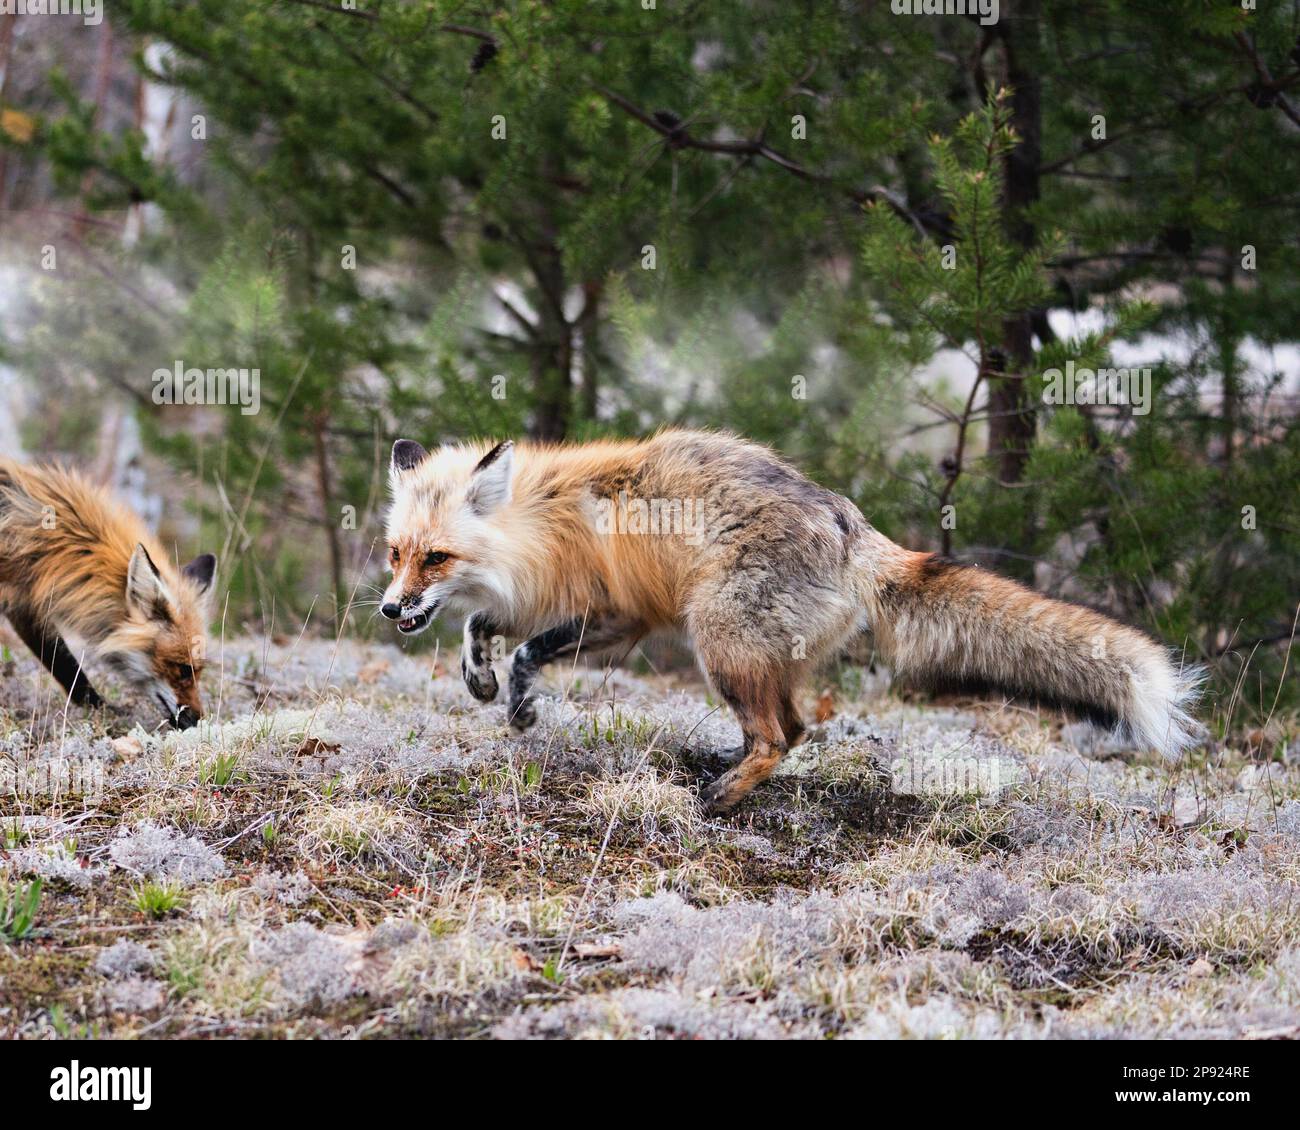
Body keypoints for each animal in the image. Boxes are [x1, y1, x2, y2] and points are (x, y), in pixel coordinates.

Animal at [0, 457, 216, 729]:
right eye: (184, 669)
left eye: (199, 670)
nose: (198, 721)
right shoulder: (23, 606)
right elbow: (67, 667)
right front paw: (102, 711)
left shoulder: (25, 605)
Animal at [380, 429, 1201, 811]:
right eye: (395, 554)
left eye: (437, 559)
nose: (389, 607)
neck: (543, 523)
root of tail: (855, 527)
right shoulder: (596, 614)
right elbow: (480, 631)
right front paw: (481, 682)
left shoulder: (616, 613)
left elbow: (526, 651)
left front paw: (517, 705)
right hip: (753, 654)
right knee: (794, 729)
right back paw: (724, 768)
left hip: (717, 638)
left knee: (779, 736)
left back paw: (716, 800)